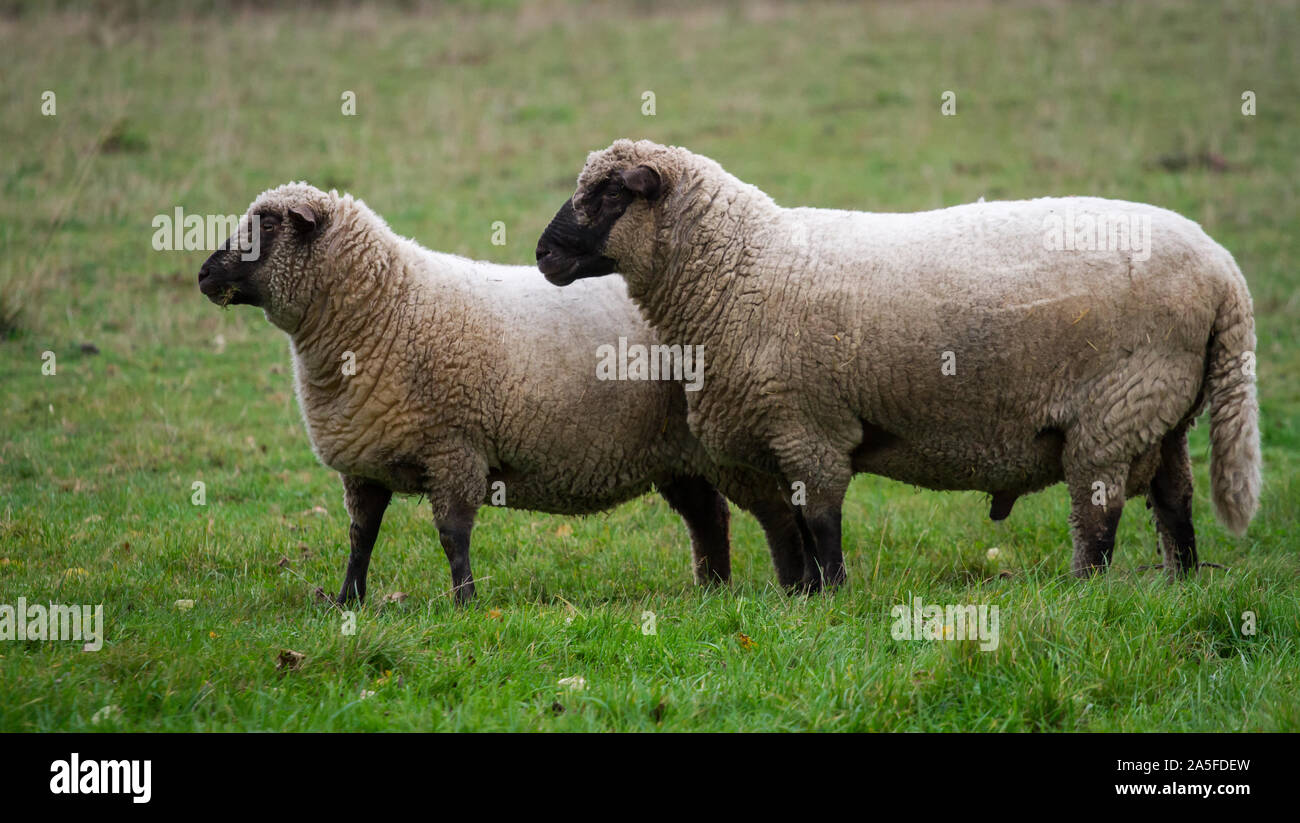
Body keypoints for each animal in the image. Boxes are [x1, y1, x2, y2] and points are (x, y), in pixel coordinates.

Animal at [198, 182, 811, 605]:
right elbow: (360, 536)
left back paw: (790, 589)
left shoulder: (453, 448)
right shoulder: (363, 461)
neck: (388, 307)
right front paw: (349, 601)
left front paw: (465, 603)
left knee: (776, 512)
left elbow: (453, 536)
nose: (203, 275)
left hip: (725, 444)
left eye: (265, 228)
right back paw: (712, 591)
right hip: (675, 453)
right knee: (708, 516)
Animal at [535, 139, 1261, 585]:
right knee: (1174, 502)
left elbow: (821, 524)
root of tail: (1225, 271)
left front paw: (831, 598)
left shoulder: (808, 425)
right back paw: (1179, 584)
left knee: (1099, 521)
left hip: (1115, 409)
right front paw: (805, 596)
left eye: (608, 195)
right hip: (1161, 410)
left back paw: (1088, 591)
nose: (544, 255)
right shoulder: (785, 430)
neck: (742, 266)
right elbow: (796, 527)